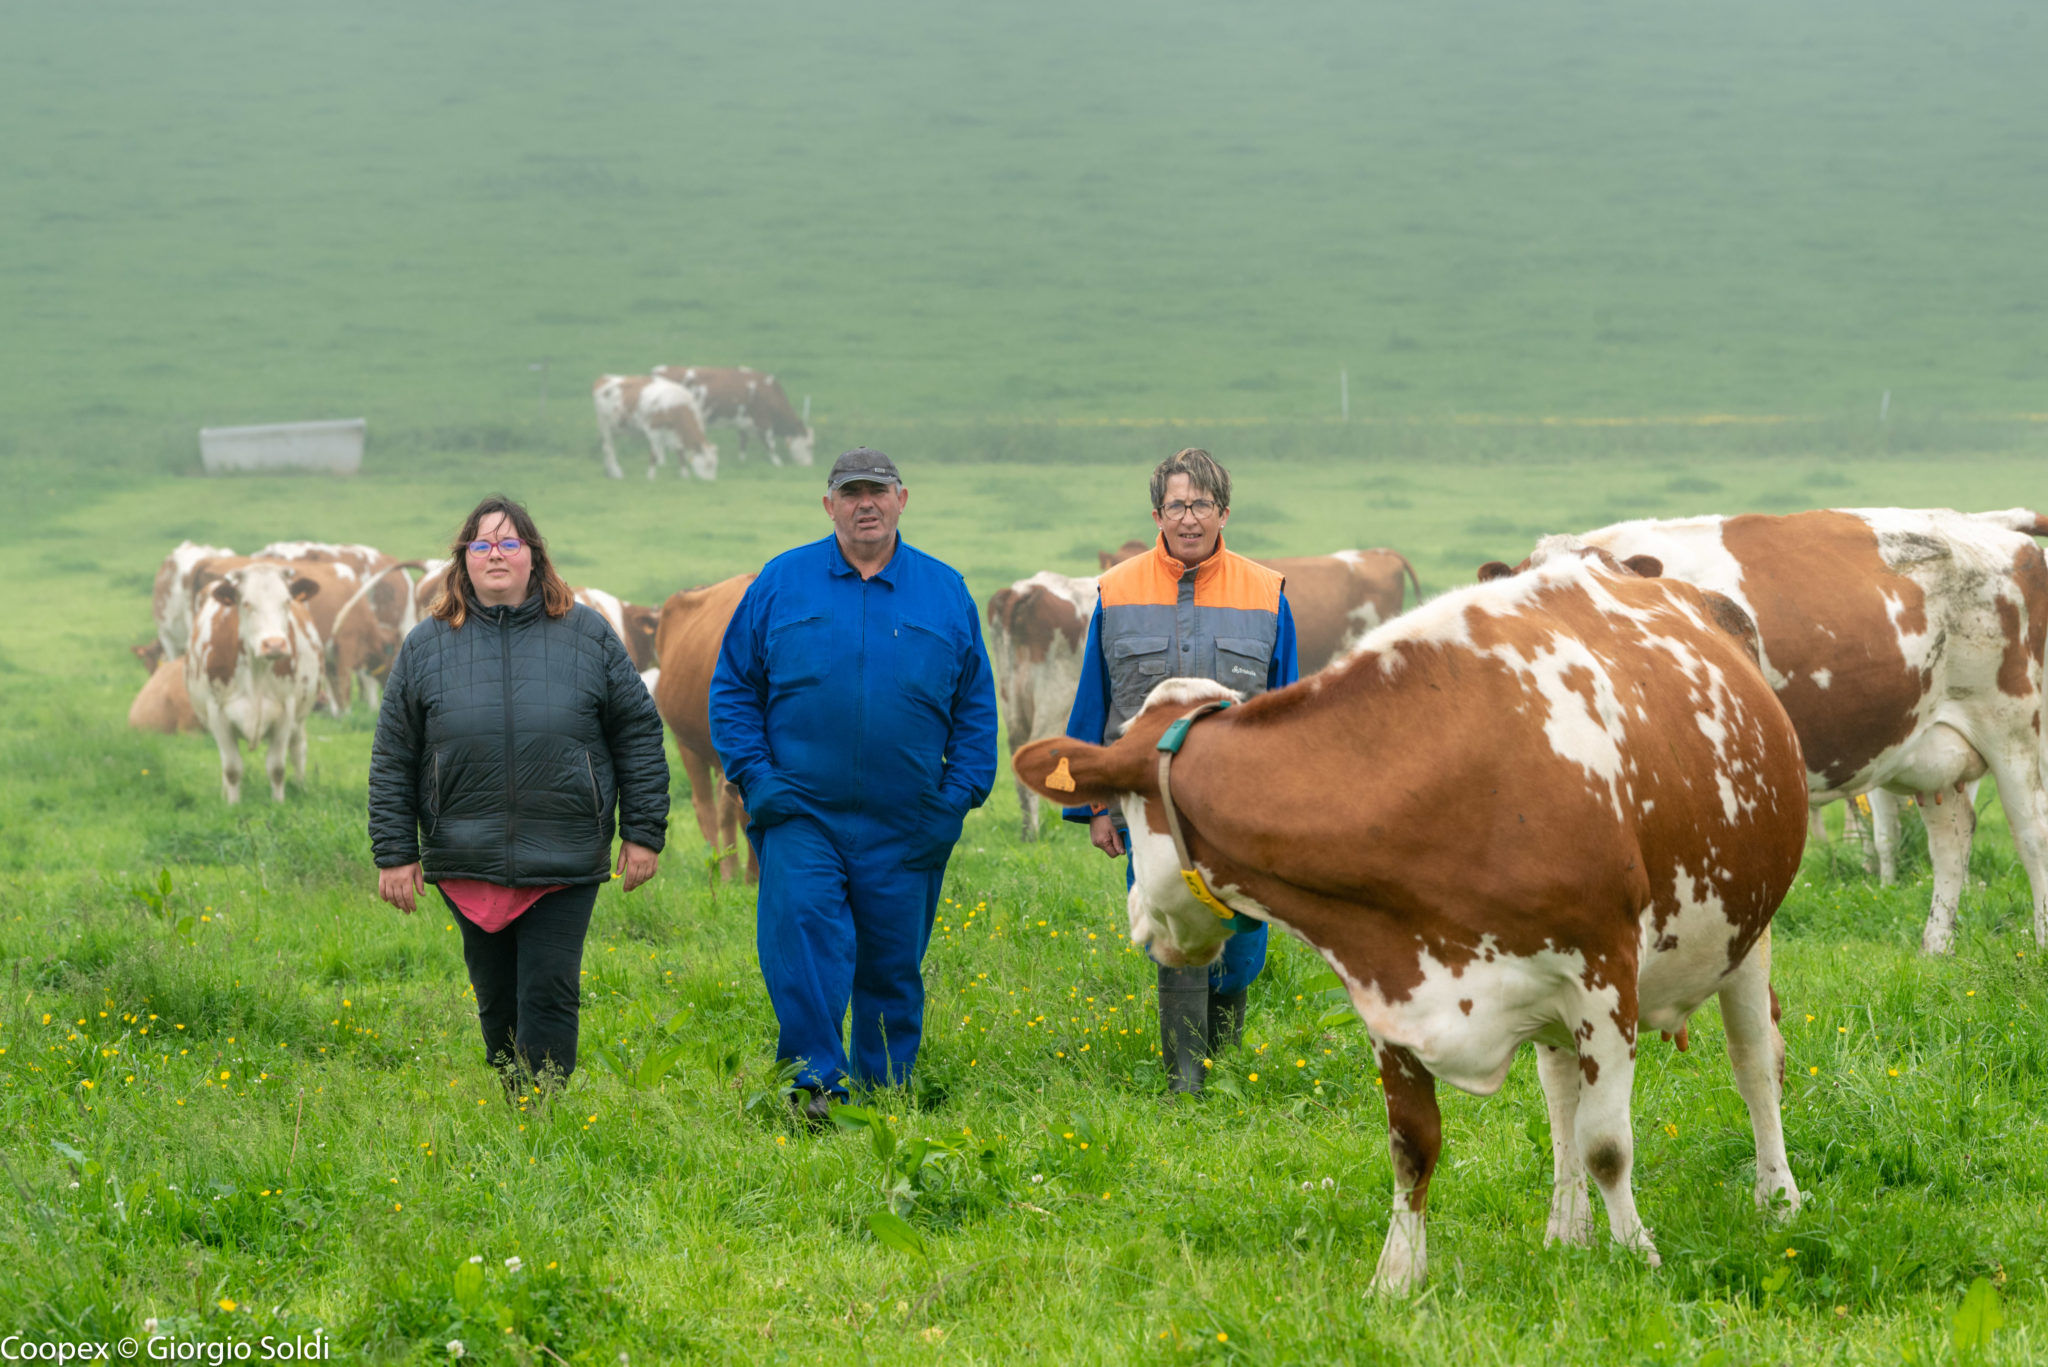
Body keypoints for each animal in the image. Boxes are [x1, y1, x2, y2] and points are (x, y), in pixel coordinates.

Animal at [185, 562, 324, 804]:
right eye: (247, 603)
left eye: (286, 601)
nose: (274, 644)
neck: (256, 672)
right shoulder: (217, 713)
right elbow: (232, 769)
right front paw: (232, 805)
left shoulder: (286, 710)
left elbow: (277, 768)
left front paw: (278, 803)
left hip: (300, 715)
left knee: (298, 747)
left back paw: (301, 787)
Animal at [651, 573, 759, 880]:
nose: (758, 879)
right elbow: (730, 812)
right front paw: (735, 876)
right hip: (686, 743)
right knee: (706, 808)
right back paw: (719, 867)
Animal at [653, 365, 815, 467]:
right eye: (809, 445)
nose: (809, 464)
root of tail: (660, 370)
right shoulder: (764, 421)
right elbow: (770, 444)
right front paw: (778, 463)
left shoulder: (744, 422)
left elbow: (743, 443)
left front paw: (742, 461)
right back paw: (663, 462)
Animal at [1562, 508, 2048, 954]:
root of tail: (1987, 521)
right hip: (1932, 749)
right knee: (1952, 836)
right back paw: (1935, 948)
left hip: (2016, 731)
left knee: (2032, 833)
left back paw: (2039, 942)